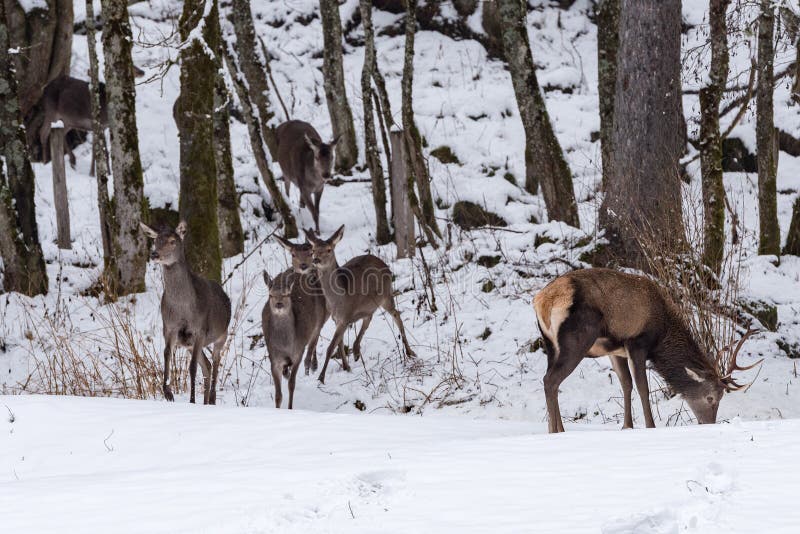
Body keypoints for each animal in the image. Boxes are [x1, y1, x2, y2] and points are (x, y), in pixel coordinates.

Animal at [140, 222, 232, 405]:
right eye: (155, 240)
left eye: (172, 241)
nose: (154, 254)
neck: (183, 308)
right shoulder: (169, 328)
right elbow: (167, 355)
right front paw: (168, 393)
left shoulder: (200, 330)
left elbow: (192, 367)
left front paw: (192, 400)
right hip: (190, 343)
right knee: (207, 366)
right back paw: (206, 401)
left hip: (222, 335)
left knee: (216, 362)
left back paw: (212, 398)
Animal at [305, 225, 416, 384]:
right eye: (313, 250)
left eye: (329, 249)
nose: (316, 259)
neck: (337, 299)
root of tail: (386, 266)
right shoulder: (337, 318)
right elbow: (339, 344)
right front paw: (346, 366)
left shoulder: (345, 316)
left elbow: (331, 347)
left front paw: (321, 378)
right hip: (369, 305)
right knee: (368, 318)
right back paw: (356, 351)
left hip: (386, 295)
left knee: (396, 315)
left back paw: (410, 351)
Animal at [533, 268, 761, 433]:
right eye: (711, 397)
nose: (708, 423)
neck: (662, 334)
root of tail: (543, 300)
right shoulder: (637, 342)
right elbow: (642, 386)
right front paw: (650, 426)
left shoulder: (615, 350)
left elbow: (626, 384)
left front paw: (627, 426)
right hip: (577, 339)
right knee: (550, 380)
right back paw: (556, 431)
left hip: (550, 344)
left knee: (551, 381)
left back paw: (557, 428)